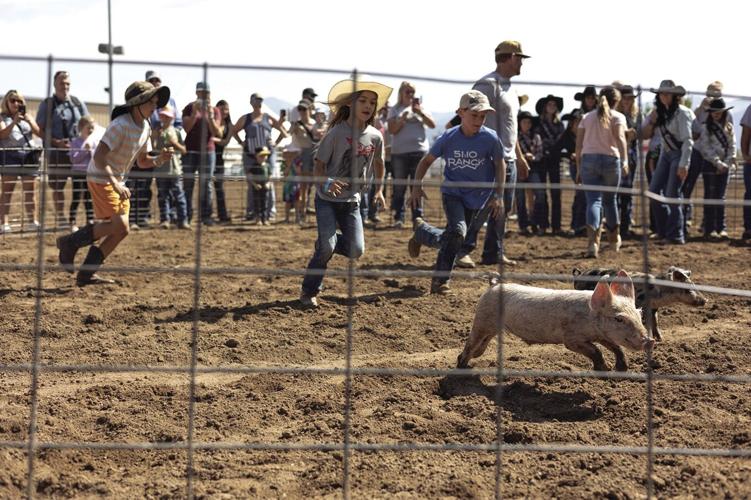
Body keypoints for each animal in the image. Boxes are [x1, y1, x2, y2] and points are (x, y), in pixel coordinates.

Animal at [457, 270, 652, 372]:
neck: (589, 317)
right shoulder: (571, 338)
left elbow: (616, 347)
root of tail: (493, 284)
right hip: (482, 318)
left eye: (639, 314)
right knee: (471, 342)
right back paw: (463, 367)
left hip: (491, 327)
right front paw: (605, 369)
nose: (649, 340)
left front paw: (622, 369)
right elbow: (596, 351)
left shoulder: (602, 335)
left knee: (480, 345)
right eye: (619, 319)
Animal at [572, 266, 707, 342]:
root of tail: (579, 275)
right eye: (687, 290)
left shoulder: (654, 308)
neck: (658, 291)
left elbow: (655, 322)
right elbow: (647, 324)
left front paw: (661, 339)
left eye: (693, 285)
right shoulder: (643, 305)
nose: (705, 300)